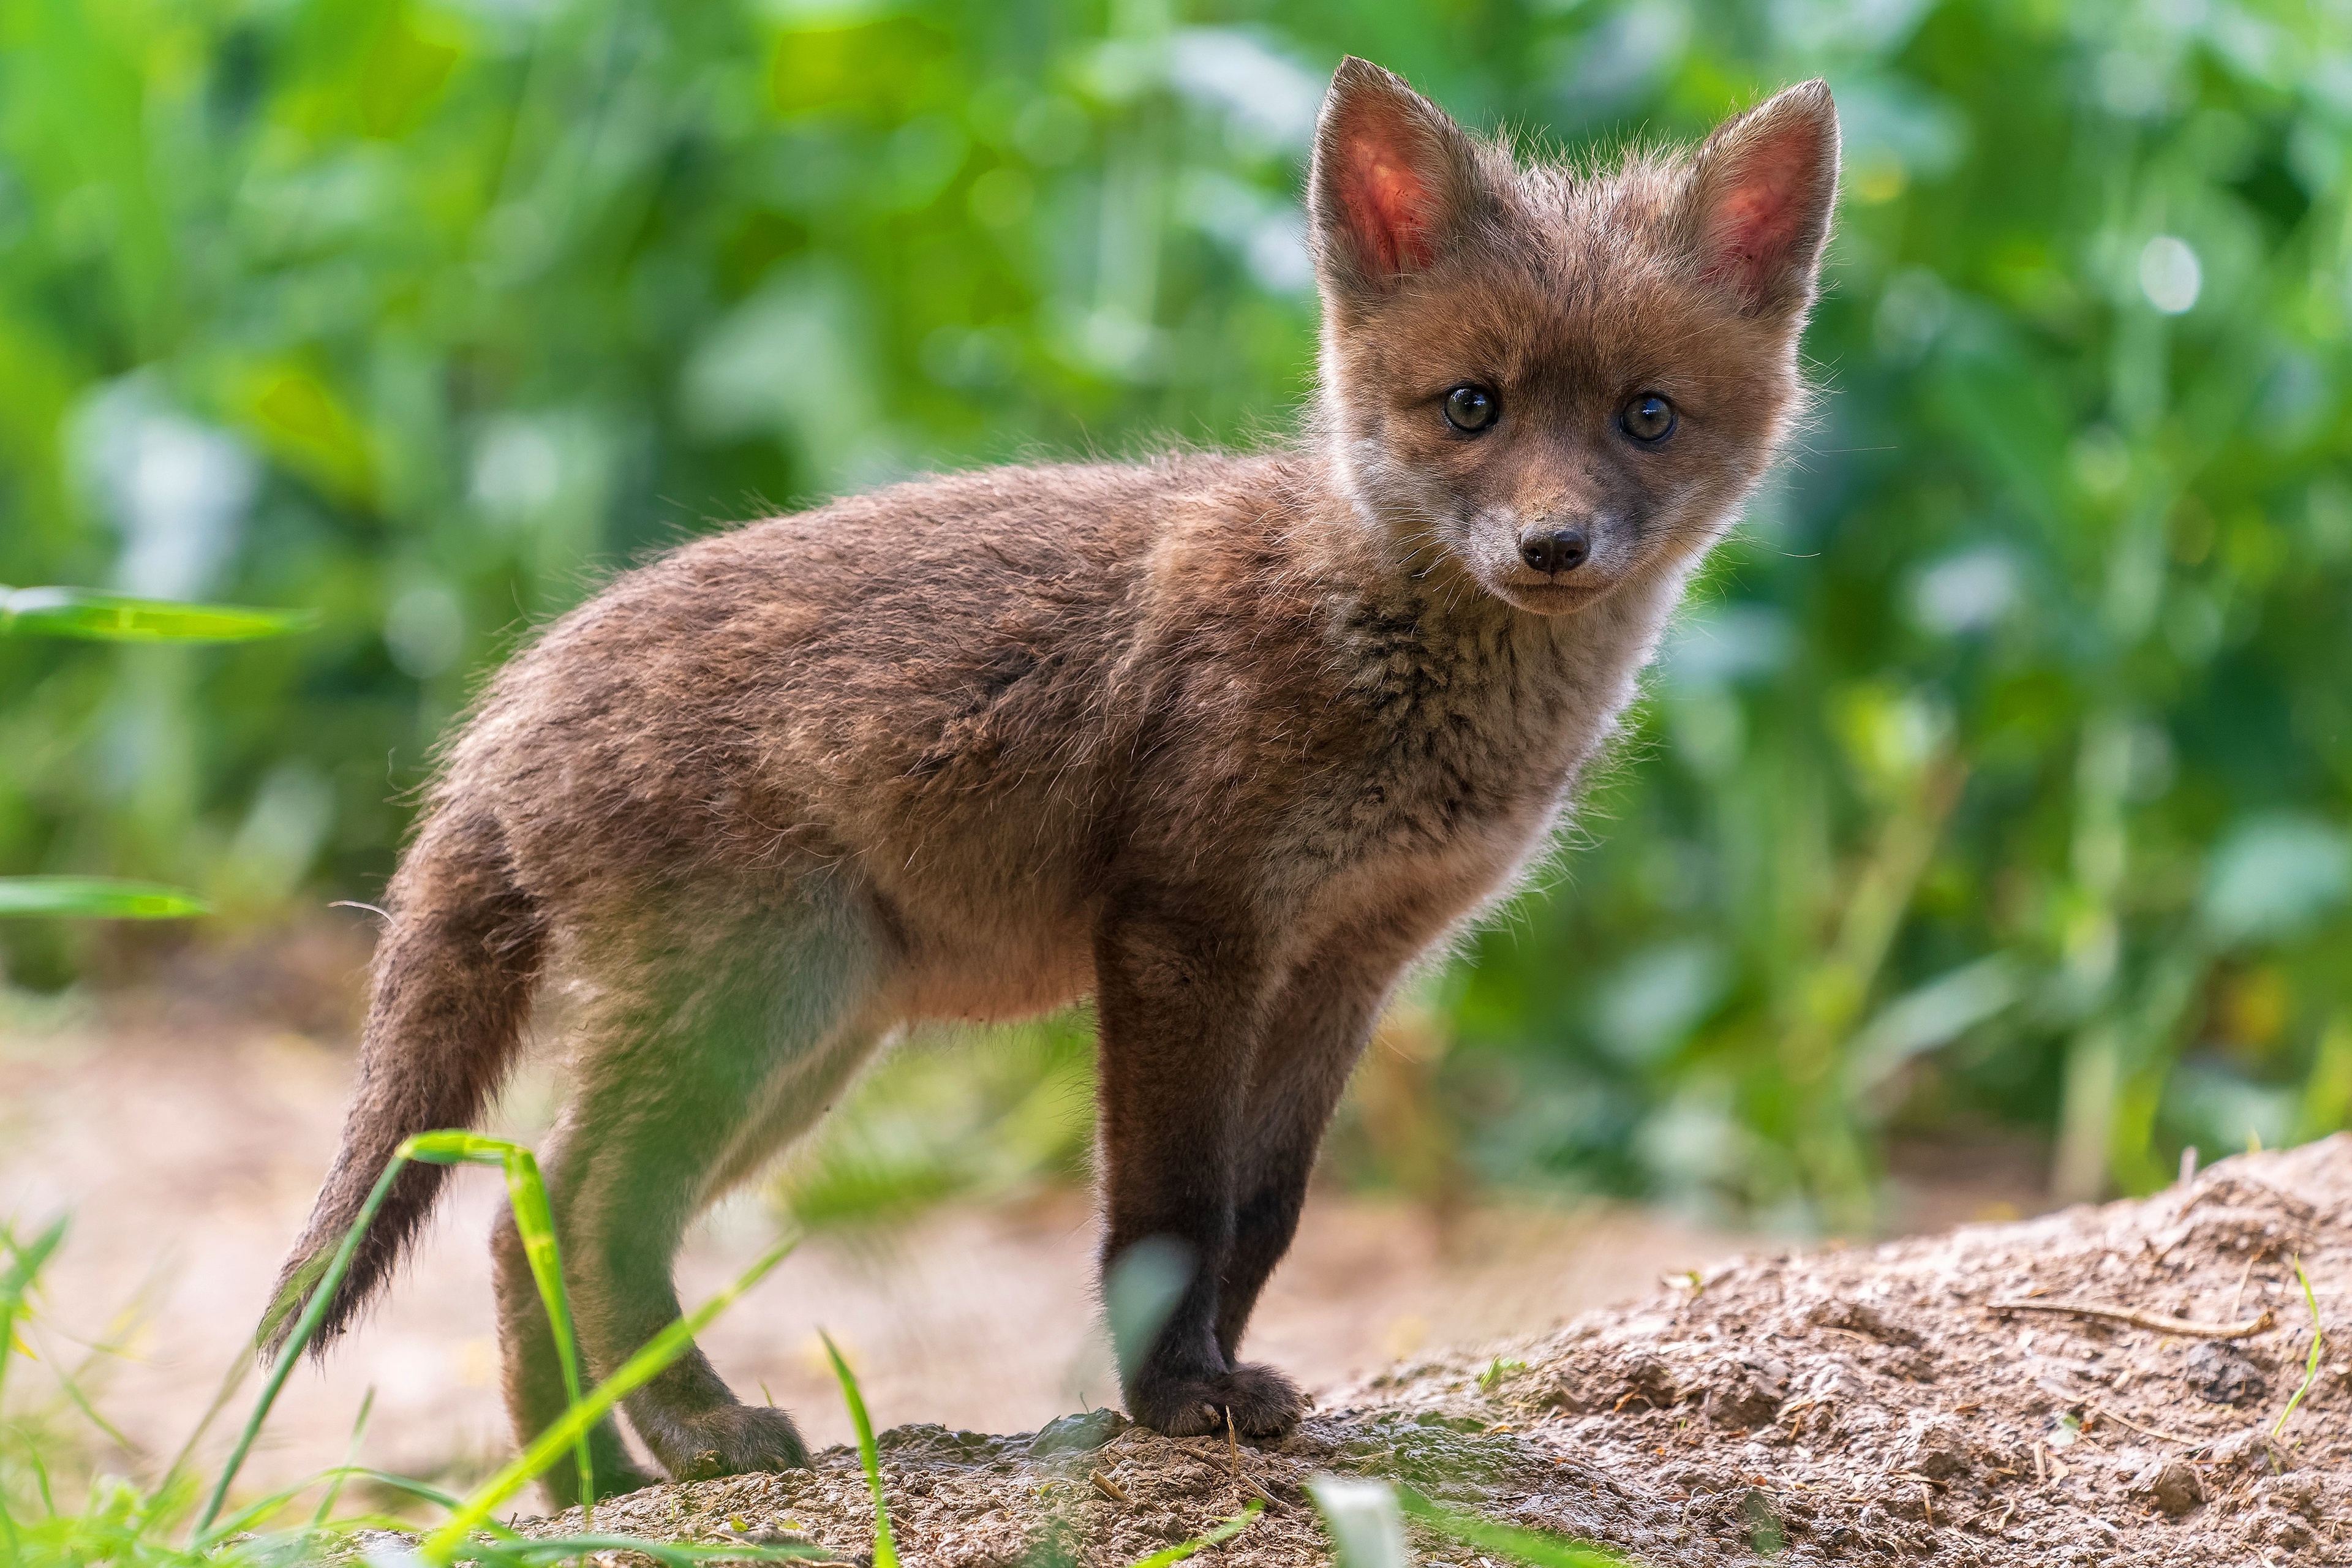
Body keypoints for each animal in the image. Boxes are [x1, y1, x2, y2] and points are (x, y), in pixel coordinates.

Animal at [273, 57, 1838, 1503]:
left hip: (809, 1043)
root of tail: (501, 710)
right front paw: (1173, 1400)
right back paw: (698, 1436)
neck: (1378, 655)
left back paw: (587, 1480)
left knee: (525, 1202)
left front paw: (1214, 1382)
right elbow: (1171, 1211)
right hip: (759, 1008)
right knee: (590, 1206)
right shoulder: (1182, 927)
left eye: (1646, 416)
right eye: (1472, 406)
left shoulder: (1351, 962)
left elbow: (1263, 1212)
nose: (1551, 547)